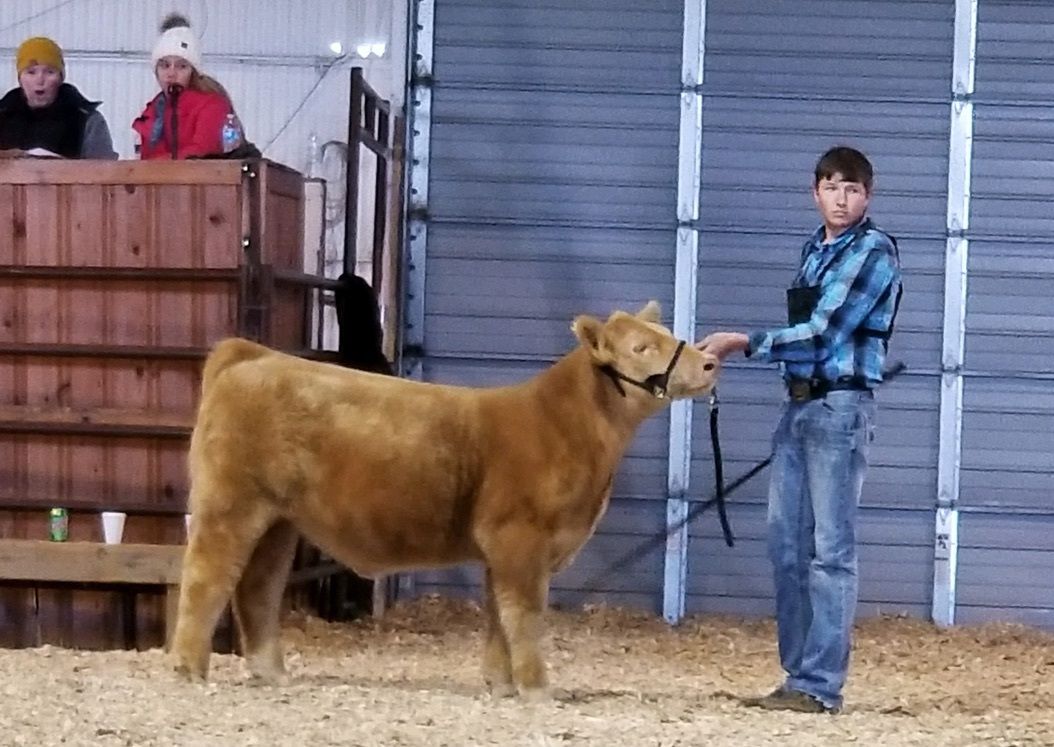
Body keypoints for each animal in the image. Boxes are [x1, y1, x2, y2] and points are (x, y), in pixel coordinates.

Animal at [171, 301, 721, 698]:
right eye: (642, 346)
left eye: (667, 334)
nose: (711, 362)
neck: (566, 427)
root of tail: (253, 355)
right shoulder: (519, 539)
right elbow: (523, 616)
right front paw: (538, 689)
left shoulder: (503, 551)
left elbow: (499, 617)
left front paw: (501, 685)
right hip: (230, 505)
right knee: (207, 579)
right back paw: (188, 671)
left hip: (278, 520)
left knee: (257, 588)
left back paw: (270, 673)